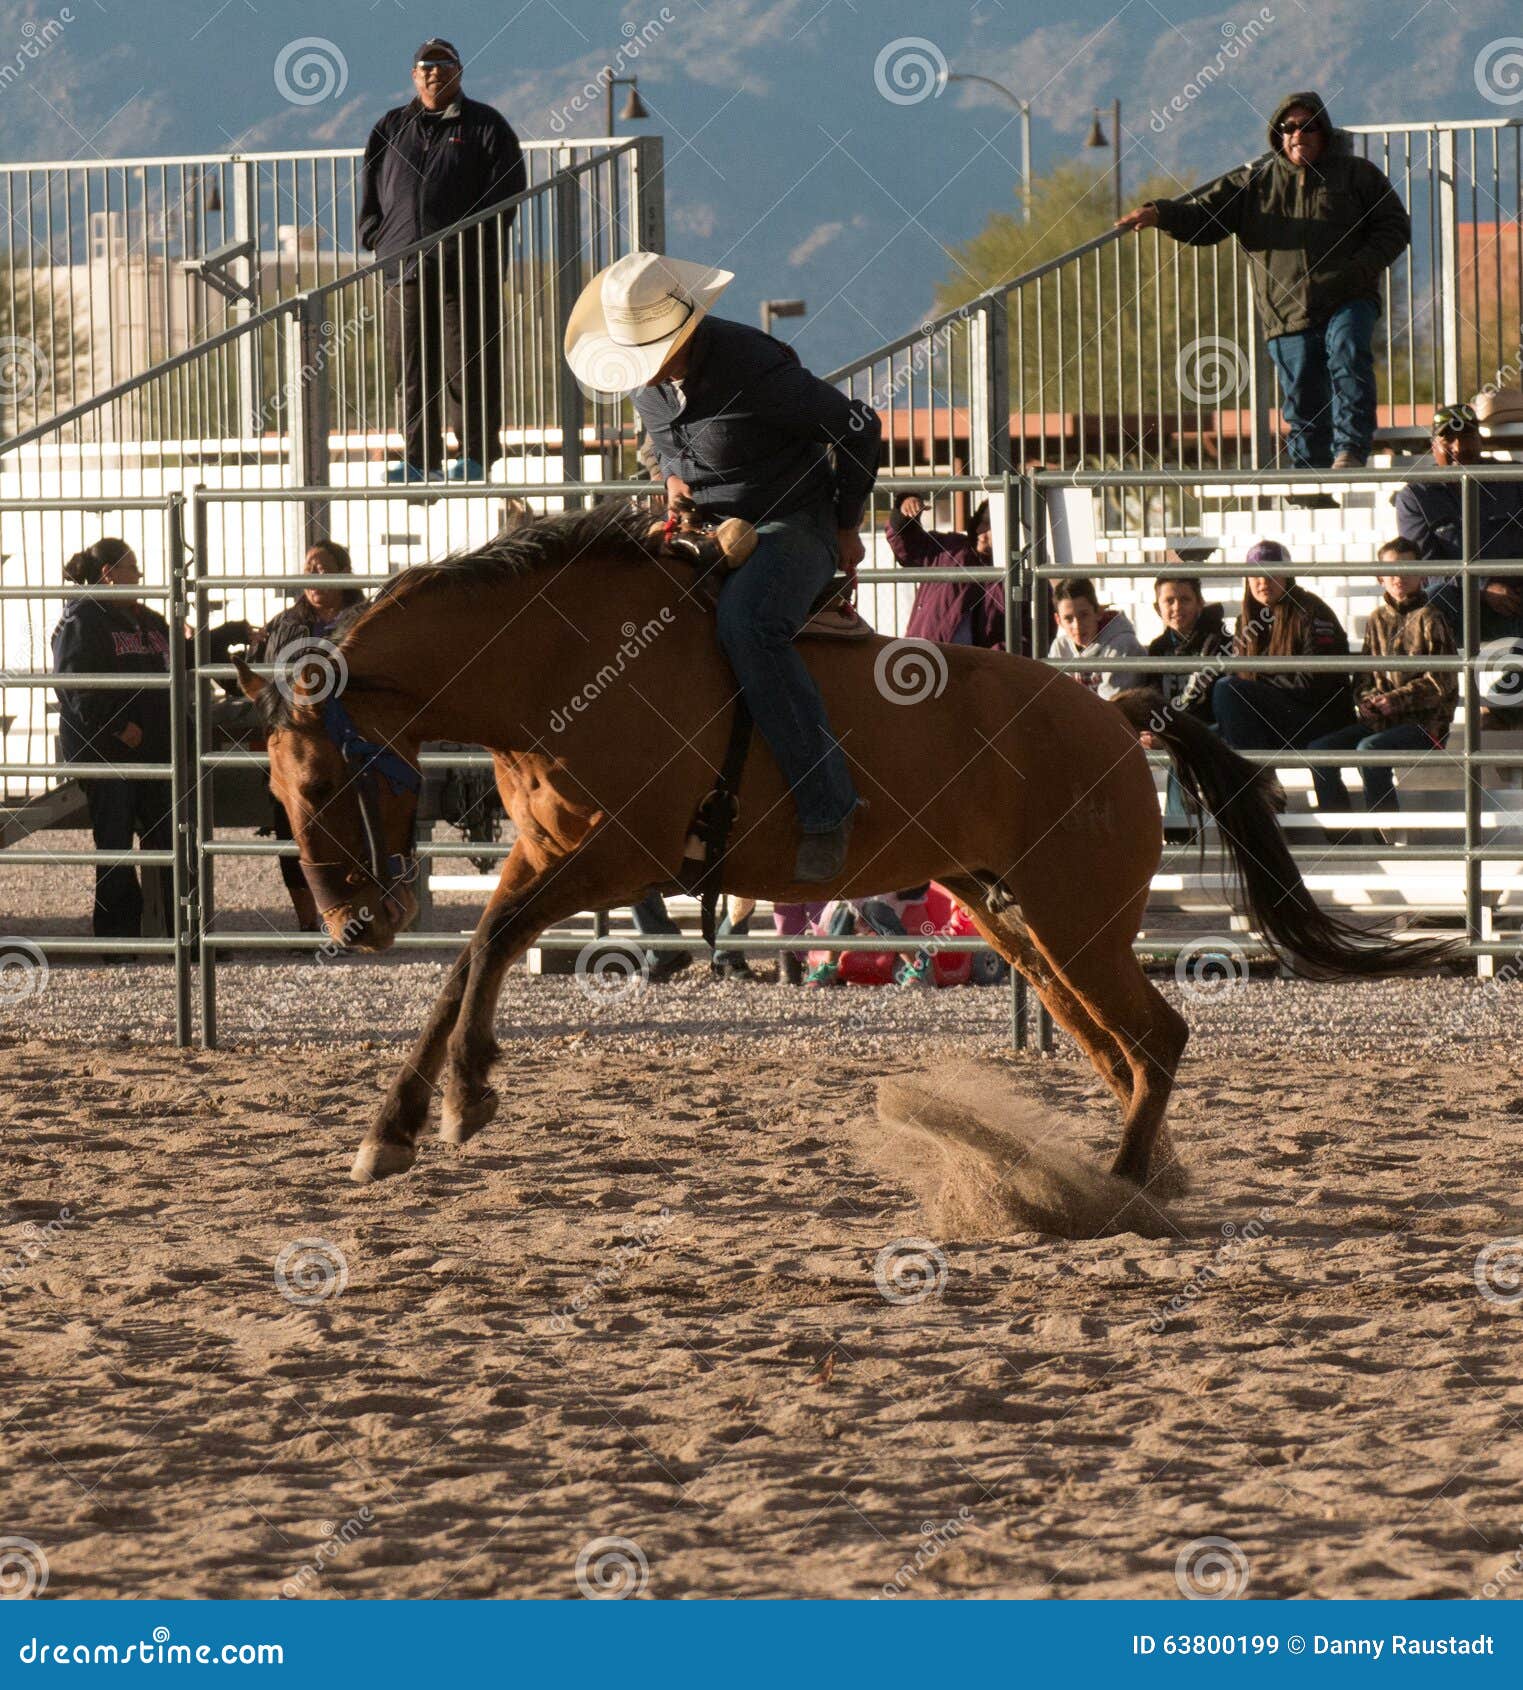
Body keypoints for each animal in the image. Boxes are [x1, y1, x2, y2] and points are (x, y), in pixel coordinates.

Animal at [235, 503, 1450, 1221]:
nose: (353, 928)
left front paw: (464, 1097)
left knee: (1154, 1038)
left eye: (329, 781)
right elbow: (464, 964)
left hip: (1074, 922)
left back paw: (1105, 1195)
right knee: (1122, 1049)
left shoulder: (616, 857)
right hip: (1022, 921)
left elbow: (488, 945)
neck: (561, 666)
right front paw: (391, 1128)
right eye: (280, 792)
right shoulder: (543, 849)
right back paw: (1135, 1178)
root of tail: (1115, 715)